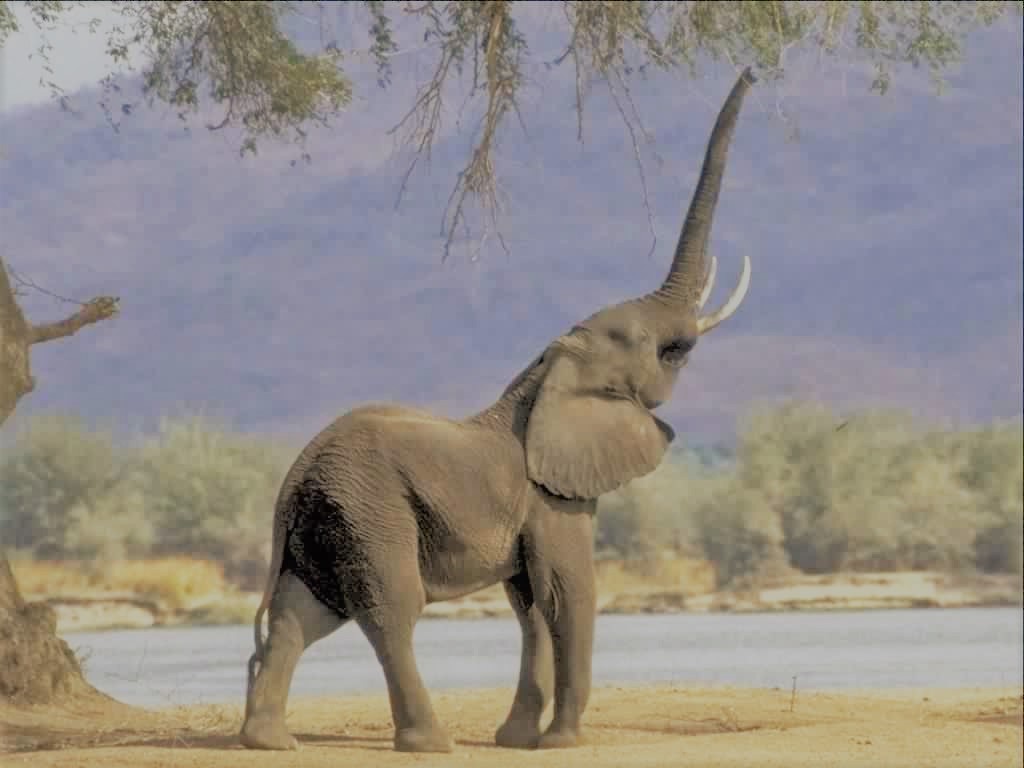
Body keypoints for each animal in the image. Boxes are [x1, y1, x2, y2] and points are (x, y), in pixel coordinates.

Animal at [239, 67, 758, 754]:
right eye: (664, 349)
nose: (753, 70)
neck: (544, 373)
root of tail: (293, 480)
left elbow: (530, 603)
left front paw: (518, 740)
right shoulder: (553, 495)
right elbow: (566, 593)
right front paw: (564, 743)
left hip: (326, 519)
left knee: (304, 611)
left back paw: (268, 742)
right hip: (368, 507)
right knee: (390, 609)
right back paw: (429, 743)